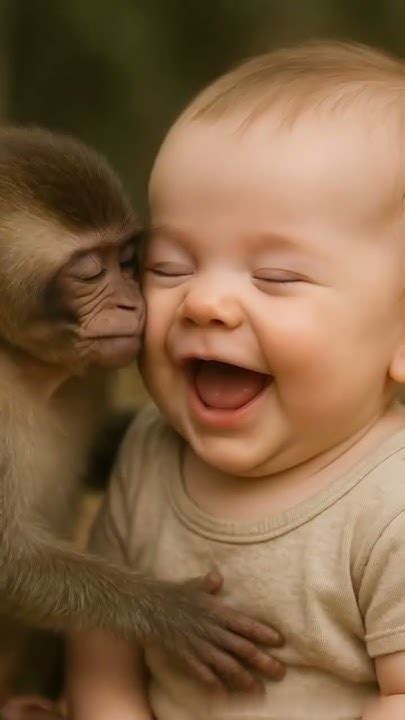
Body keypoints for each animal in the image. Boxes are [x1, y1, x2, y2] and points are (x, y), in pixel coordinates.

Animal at [0, 127, 284, 710]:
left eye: (126, 260)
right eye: (89, 271)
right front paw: (172, 613)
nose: (133, 305)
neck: (22, 362)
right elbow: (8, 563)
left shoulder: (88, 374)